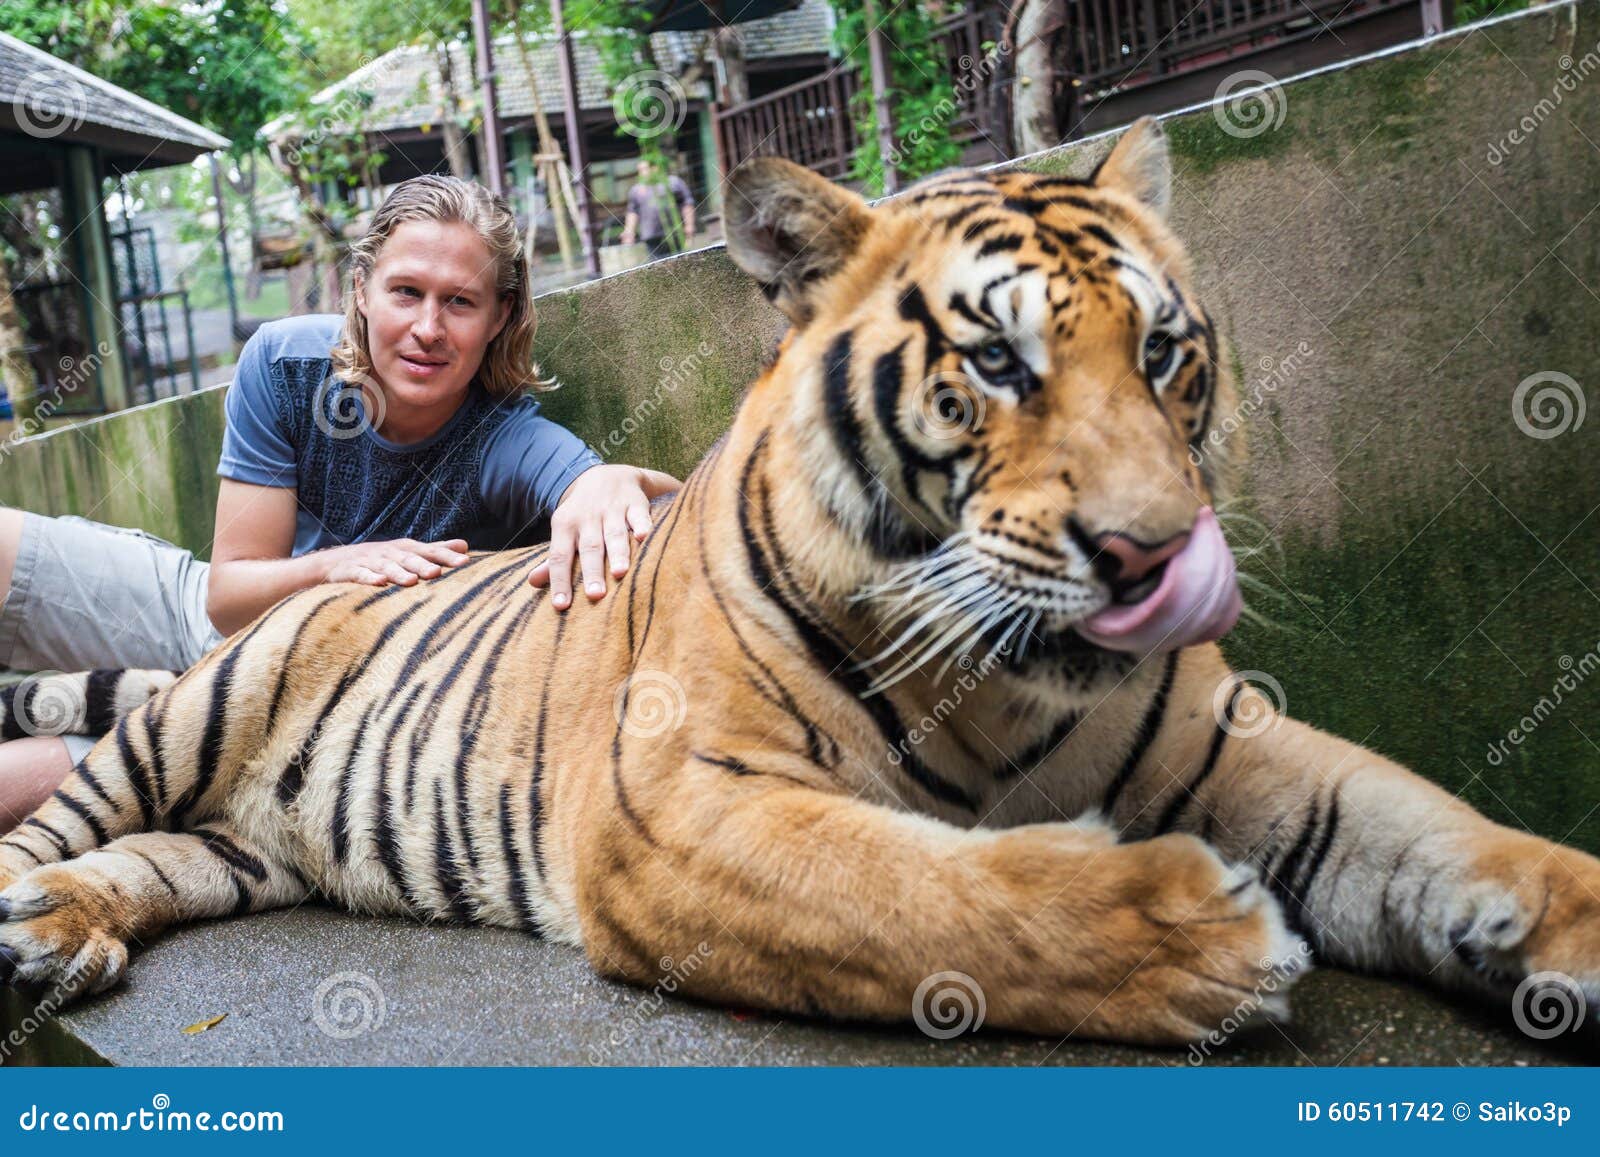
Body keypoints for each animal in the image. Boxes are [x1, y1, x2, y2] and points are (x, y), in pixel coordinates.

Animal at [1, 117, 1597, 1048]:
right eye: (995, 360)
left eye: (1161, 352)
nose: (1150, 555)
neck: (1005, 685)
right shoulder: (674, 810)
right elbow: (917, 893)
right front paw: (1195, 933)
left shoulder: (1229, 745)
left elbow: (1433, 827)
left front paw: (1564, 919)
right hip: (187, 722)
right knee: (59, 815)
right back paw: (27, 920)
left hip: (253, 842)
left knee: (155, 862)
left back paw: (60, 934)